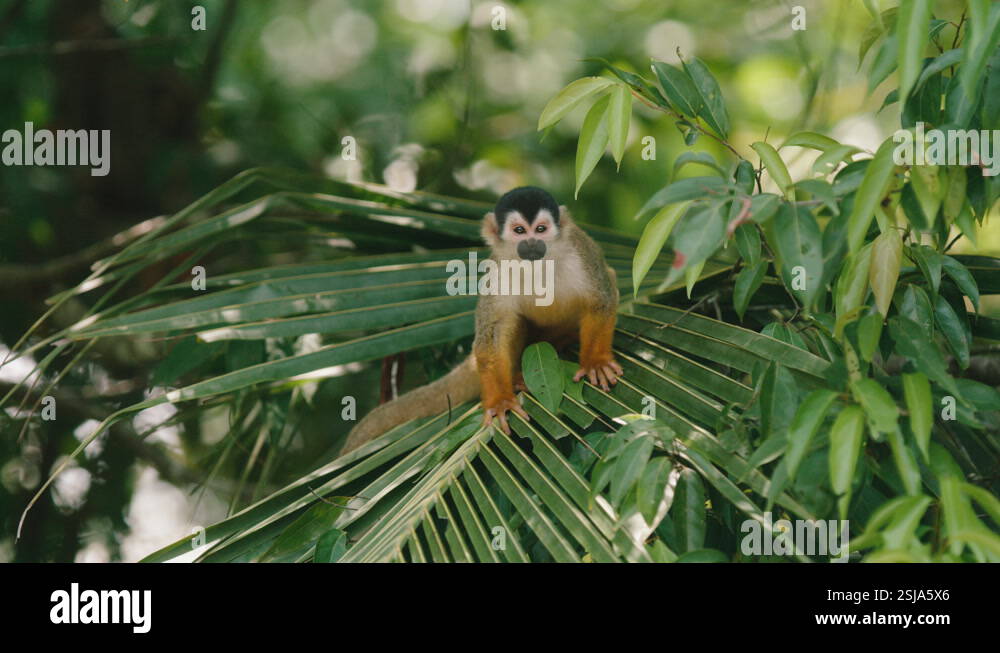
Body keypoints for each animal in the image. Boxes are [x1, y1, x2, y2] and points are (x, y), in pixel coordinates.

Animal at [341, 186, 623, 454]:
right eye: (519, 230)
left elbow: (601, 301)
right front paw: (500, 402)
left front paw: (595, 363)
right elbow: (492, 334)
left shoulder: (581, 254)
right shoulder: (497, 272)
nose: (532, 243)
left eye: (541, 229)